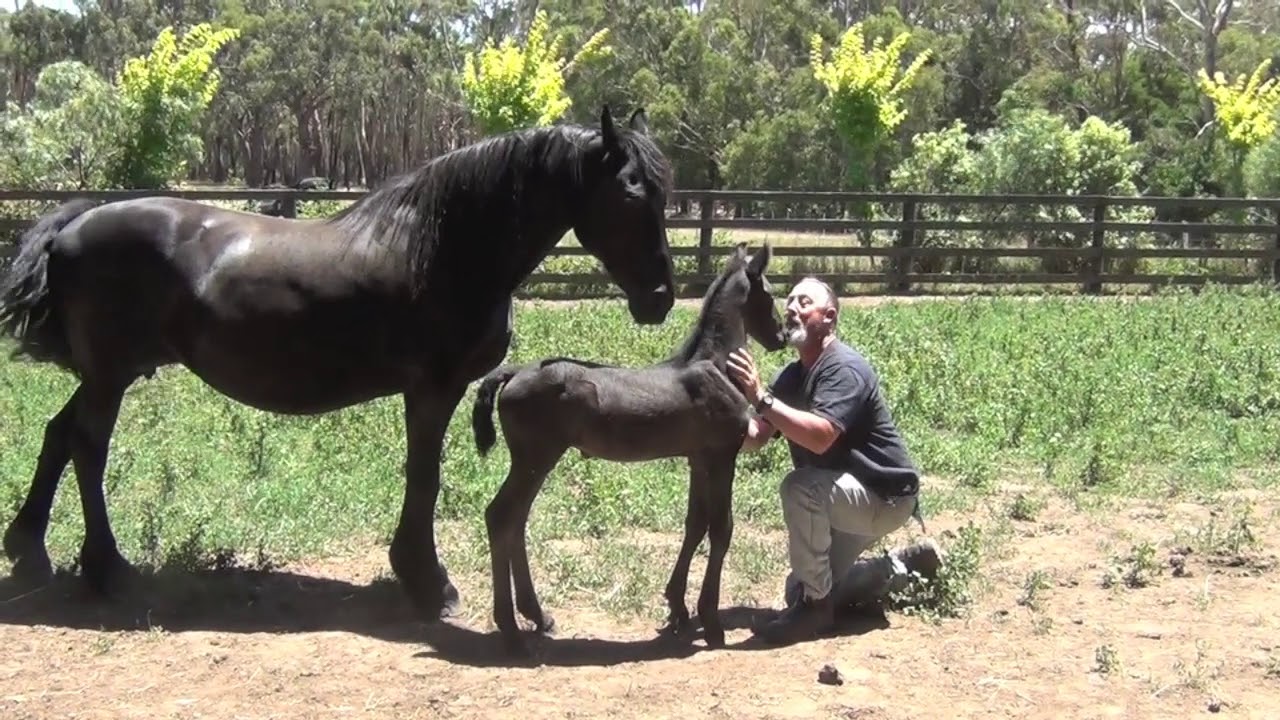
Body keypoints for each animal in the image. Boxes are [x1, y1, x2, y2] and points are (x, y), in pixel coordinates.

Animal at [0, 105, 677, 622]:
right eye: (629, 193)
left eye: (664, 193)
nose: (660, 299)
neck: (447, 248)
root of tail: (79, 221)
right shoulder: (433, 388)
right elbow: (424, 476)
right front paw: (427, 581)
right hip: (109, 375)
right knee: (88, 449)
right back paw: (107, 569)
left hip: (108, 374)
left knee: (59, 435)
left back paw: (30, 549)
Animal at [469, 242, 787, 655]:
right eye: (770, 293)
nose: (783, 334)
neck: (715, 368)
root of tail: (513, 372)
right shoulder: (721, 456)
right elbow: (721, 529)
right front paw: (712, 623)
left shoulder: (698, 459)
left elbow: (695, 524)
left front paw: (678, 610)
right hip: (535, 458)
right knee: (501, 516)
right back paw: (511, 629)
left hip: (534, 462)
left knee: (516, 520)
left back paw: (538, 616)